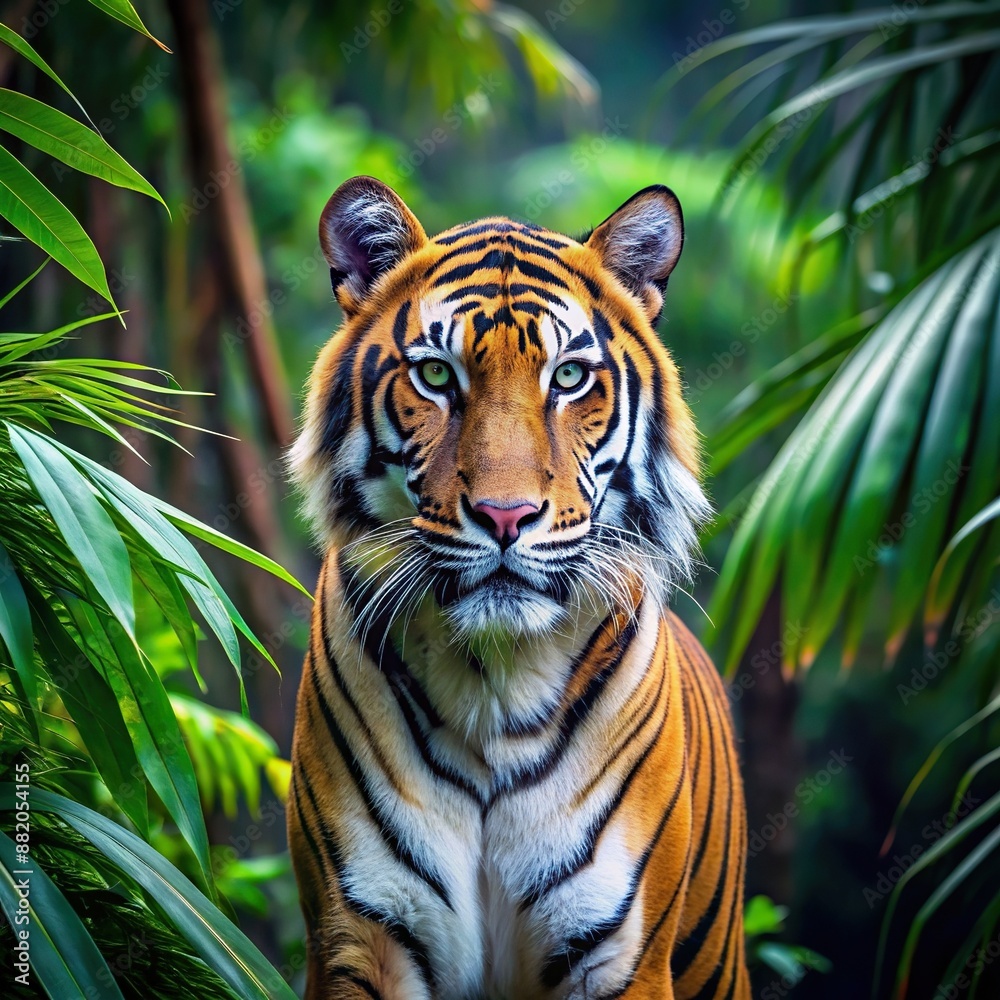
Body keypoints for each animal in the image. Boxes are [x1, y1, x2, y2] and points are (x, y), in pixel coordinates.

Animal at [287, 175, 751, 1000]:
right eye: (437, 375)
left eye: (568, 377)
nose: (507, 516)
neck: (491, 680)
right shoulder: (360, 932)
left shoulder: (620, 954)